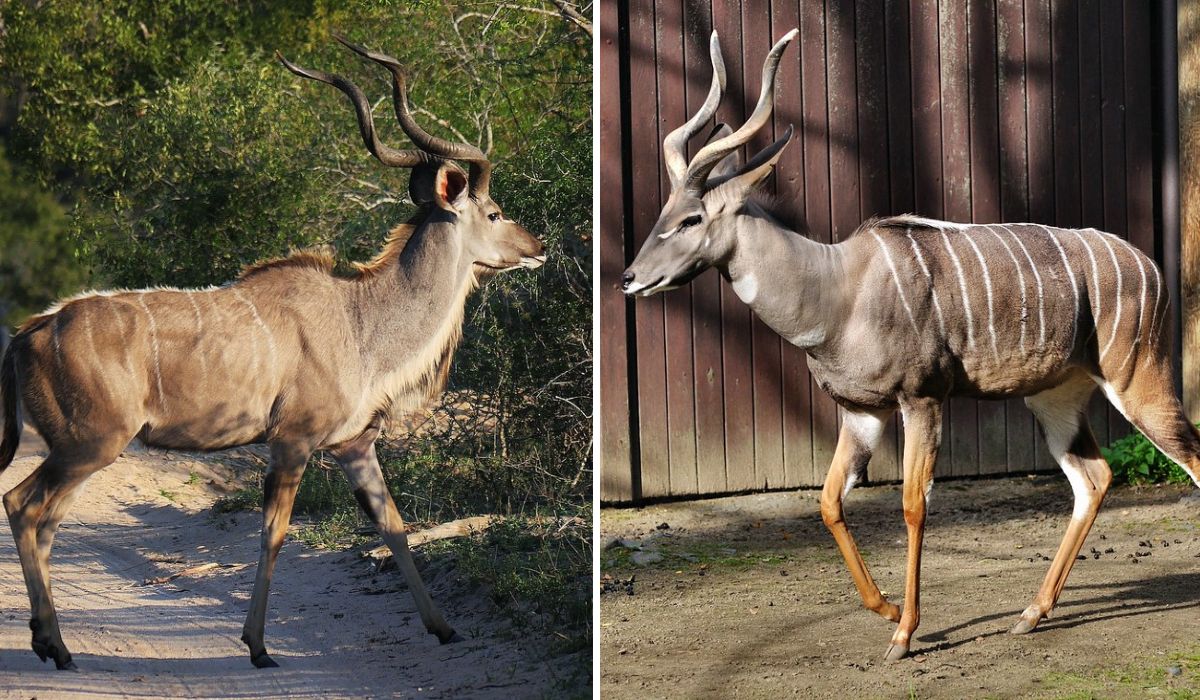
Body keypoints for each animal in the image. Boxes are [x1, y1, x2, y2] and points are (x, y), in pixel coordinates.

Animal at [0, 37, 545, 670]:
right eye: (494, 212)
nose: (537, 247)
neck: (361, 319)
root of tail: (28, 333)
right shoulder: (293, 443)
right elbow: (274, 534)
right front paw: (258, 646)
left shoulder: (353, 445)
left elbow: (394, 525)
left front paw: (445, 627)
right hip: (90, 444)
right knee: (24, 505)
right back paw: (56, 646)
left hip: (79, 450)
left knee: (44, 518)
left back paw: (49, 640)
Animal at [622, 29, 1200, 661]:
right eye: (664, 212)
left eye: (691, 218)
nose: (628, 278)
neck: (837, 292)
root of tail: (1151, 266)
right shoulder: (861, 412)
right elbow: (829, 501)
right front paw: (891, 610)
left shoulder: (921, 399)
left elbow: (912, 503)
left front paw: (904, 634)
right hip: (1054, 399)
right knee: (1093, 480)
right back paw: (1030, 614)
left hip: (1139, 381)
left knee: (1186, 458)